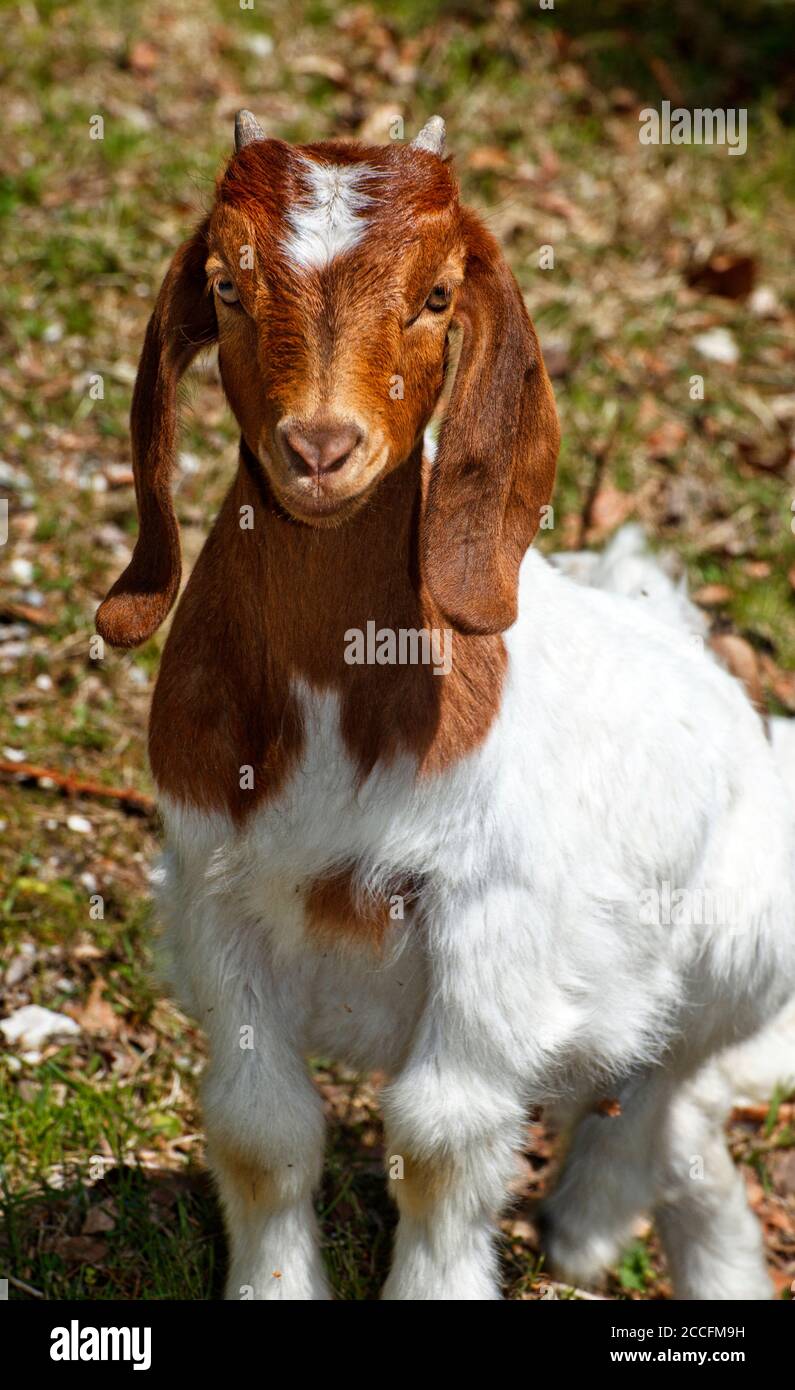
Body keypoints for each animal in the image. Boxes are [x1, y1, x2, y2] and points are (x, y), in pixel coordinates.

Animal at [96, 113, 795, 1300]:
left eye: (434, 296)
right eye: (228, 283)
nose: (320, 449)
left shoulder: (489, 910)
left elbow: (442, 1135)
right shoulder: (217, 895)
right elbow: (258, 1127)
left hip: (749, 939)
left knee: (683, 1091)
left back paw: (601, 1227)